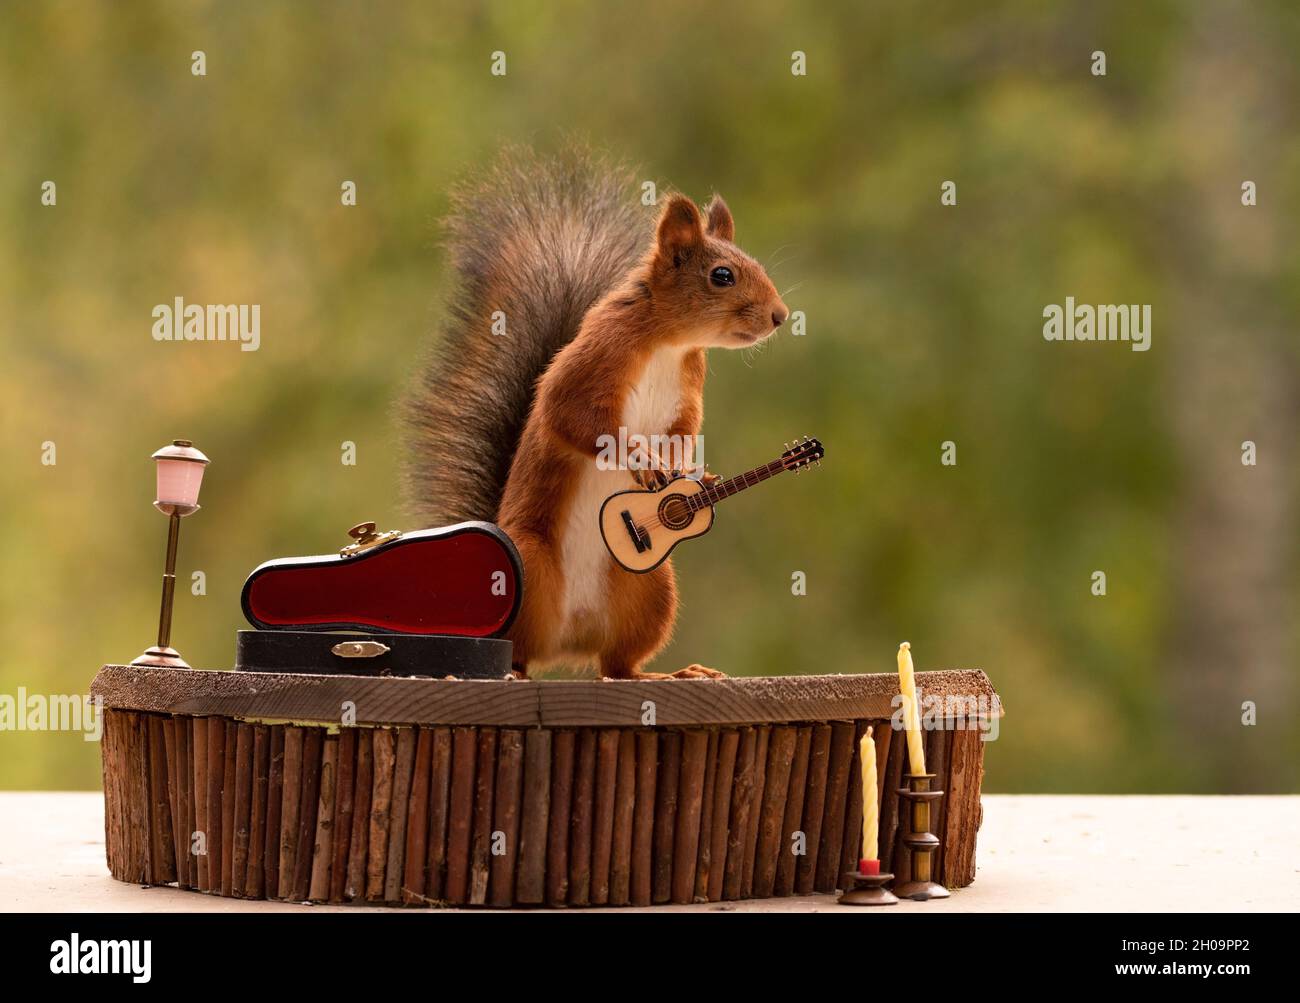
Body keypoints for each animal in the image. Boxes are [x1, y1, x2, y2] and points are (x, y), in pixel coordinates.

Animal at [404, 147, 788, 680]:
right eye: (722, 276)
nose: (781, 316)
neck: (670, 343)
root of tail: (569, 640)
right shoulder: (591, 365)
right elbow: (577, 420)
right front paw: (644, 464)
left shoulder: (687, 393)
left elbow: (684, 431)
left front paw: (683, 473)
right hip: (527, 568)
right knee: (520, 650)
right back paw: (513, 669)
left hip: (651, 588)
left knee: (619, 665)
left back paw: (672, 673)